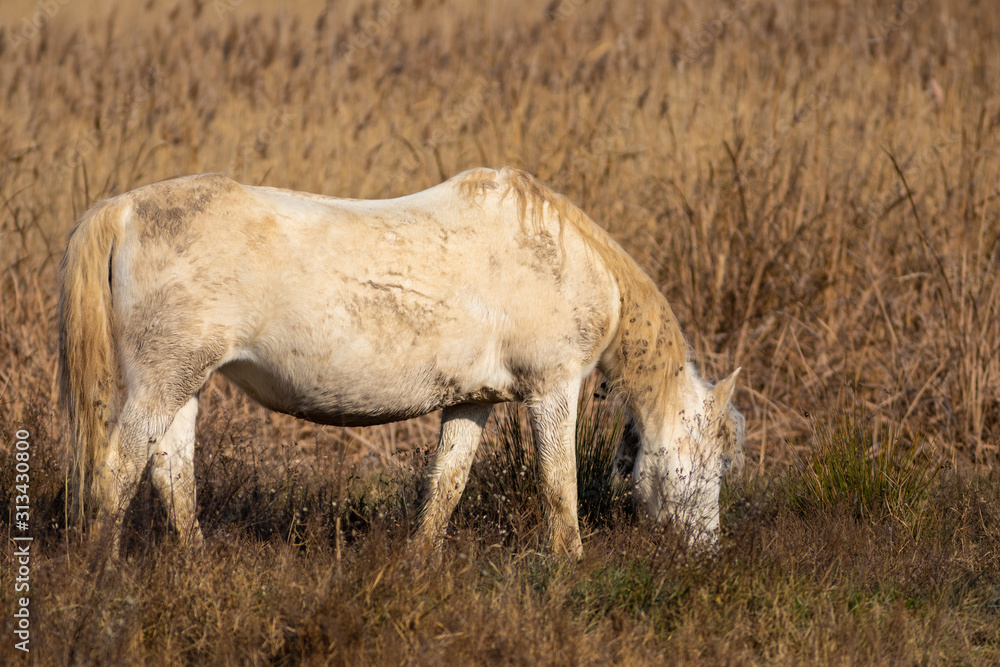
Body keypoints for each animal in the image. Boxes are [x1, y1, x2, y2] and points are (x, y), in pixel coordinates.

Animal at [58, 166, 745, 558]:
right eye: (710, 464)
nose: (707, 555)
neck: (563, 256)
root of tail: (123, 209)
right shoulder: (552, 391)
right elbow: (559, 488)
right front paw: (570, 568)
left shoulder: (473, 403)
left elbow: (446, 486)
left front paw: (417, 568)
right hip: (163, 381)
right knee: (117, 471)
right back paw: (102, 575)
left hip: (184, 383)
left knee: (170, 475)